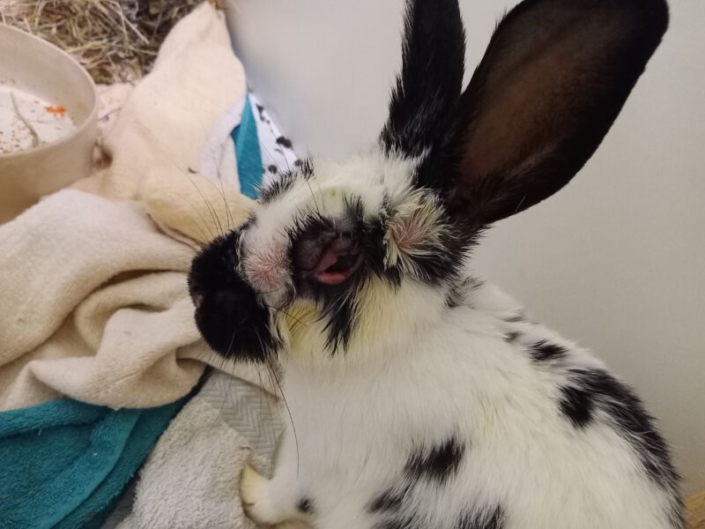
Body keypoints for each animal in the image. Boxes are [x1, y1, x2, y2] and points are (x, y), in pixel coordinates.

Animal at [187, 0, 684, 527]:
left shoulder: (313, 469)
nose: (198, 285)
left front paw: (246, 488)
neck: (398, 341)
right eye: (285, 181)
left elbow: (279, 495)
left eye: (334, 260)